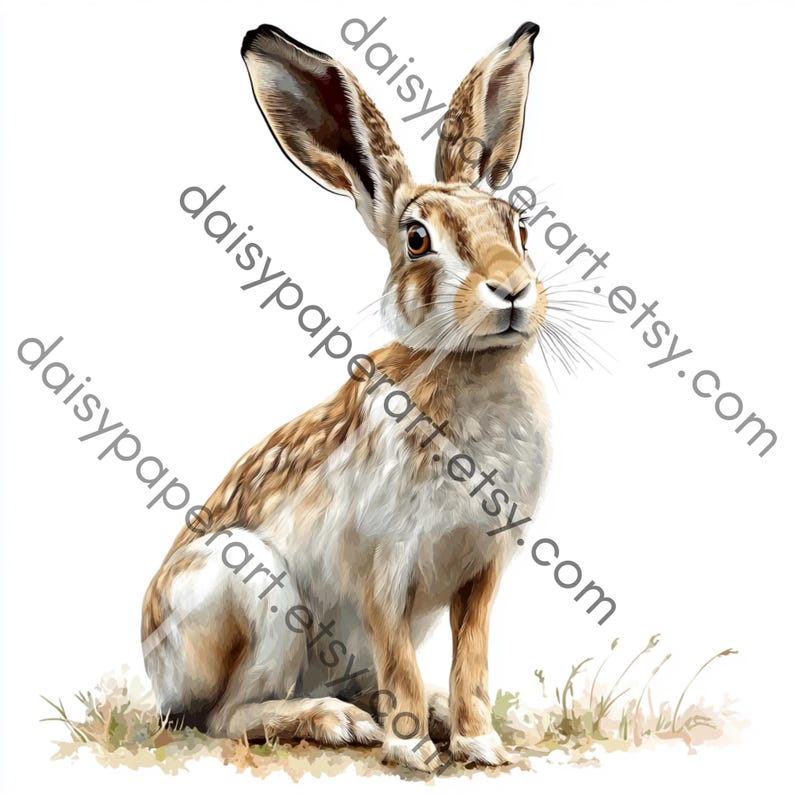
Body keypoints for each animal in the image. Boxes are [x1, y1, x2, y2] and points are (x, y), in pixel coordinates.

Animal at [142, 20, 549, 773]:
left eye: (521, 227)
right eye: (417, 239)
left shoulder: (482, 571)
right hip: (251, 593)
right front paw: (415, 752)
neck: (470, 368)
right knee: (226, 717)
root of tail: (154, 666)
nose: (511, 289)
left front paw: (480, 743)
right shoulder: (382, 569)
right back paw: (340, 723)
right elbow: (398, 657)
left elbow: (472, 659)